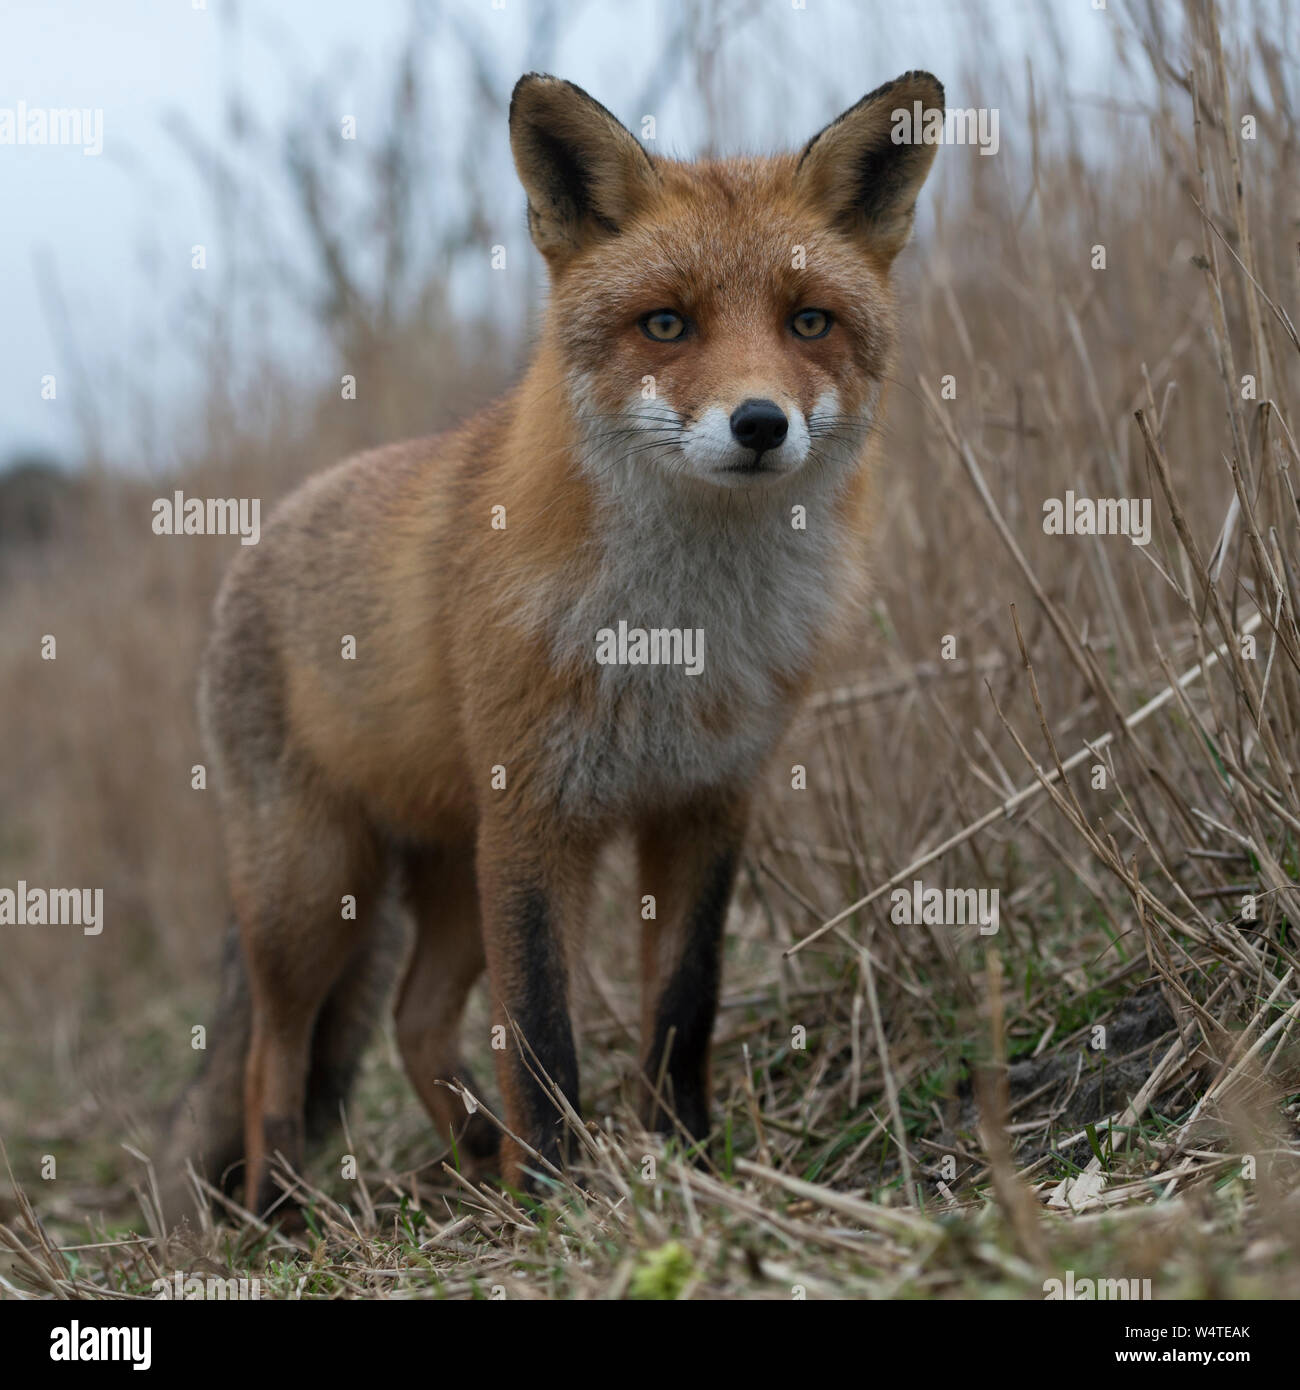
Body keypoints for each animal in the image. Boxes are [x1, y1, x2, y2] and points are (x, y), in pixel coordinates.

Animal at [159, 69, 943, 1219]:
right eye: (665, 323)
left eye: (810, 321)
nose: (759, 423)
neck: (677, 635)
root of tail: (270, 524)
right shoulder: (534, 816)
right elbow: (539, 1029)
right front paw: (559, 1199)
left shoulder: (706, 803)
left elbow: (684, 1004)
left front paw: (684, 1156)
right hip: (313, 889)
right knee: (273, 1055)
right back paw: (283, 1216)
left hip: (445, 875)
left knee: (414, 1021)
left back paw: (478, 1159)